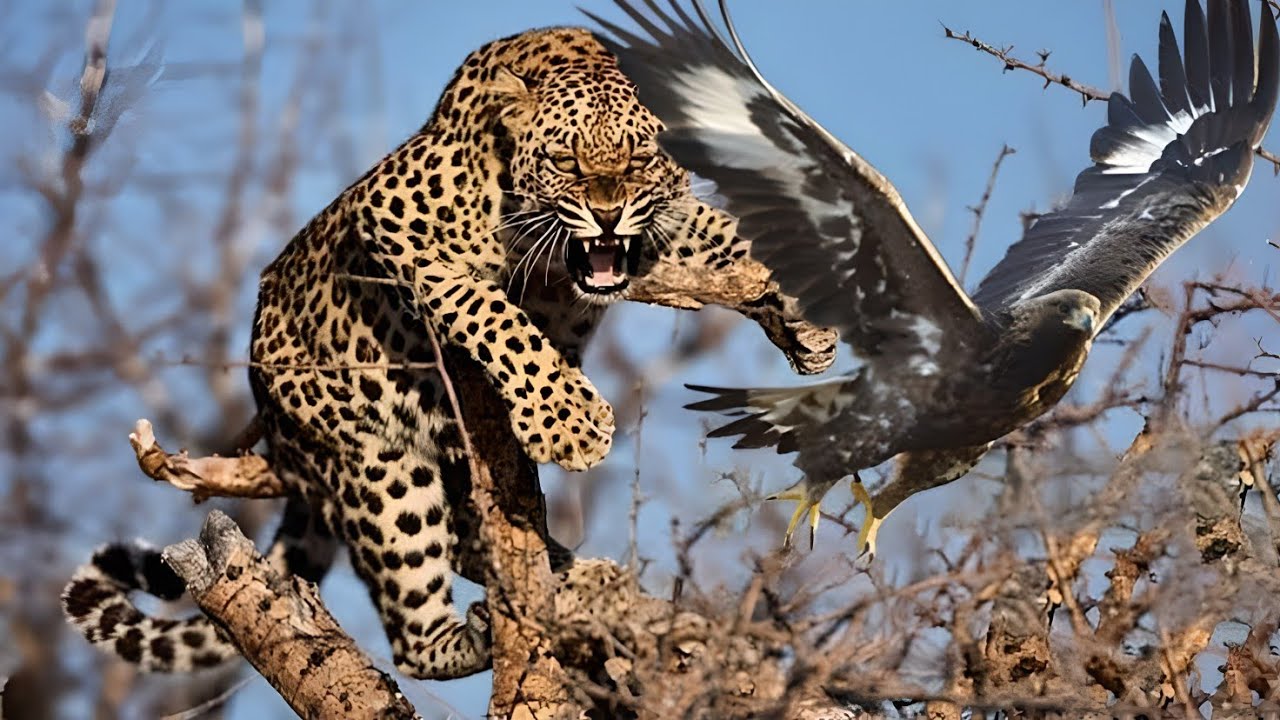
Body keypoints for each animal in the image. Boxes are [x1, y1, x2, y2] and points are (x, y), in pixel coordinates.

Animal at [62, 27, 746, 680]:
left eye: (641, 157)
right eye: (563, 158)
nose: (606, 216)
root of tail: (275, 431)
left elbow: (730, 236)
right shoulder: (392, 219)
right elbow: (492, 314)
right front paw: (567, 423)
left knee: (472, 537)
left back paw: (579, 583)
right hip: (379, 466)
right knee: (416, 630)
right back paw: (489, 628)